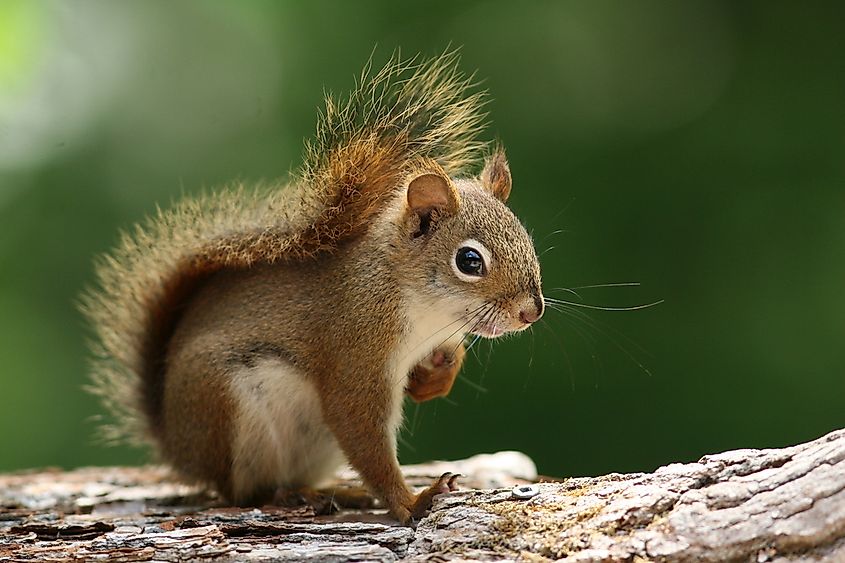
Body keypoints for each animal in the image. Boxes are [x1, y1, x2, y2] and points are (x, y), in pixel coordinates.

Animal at [82, 51, 544, 524]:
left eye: (526, 238)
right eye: (469, 261)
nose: (531, 311)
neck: (424, 311)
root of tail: (180, 447)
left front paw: (436, 379)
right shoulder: (355, 351)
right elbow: (361, 430)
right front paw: (411, 501)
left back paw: (337, 491)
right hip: (229, 410)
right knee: (244, 491)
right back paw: (290, 496)